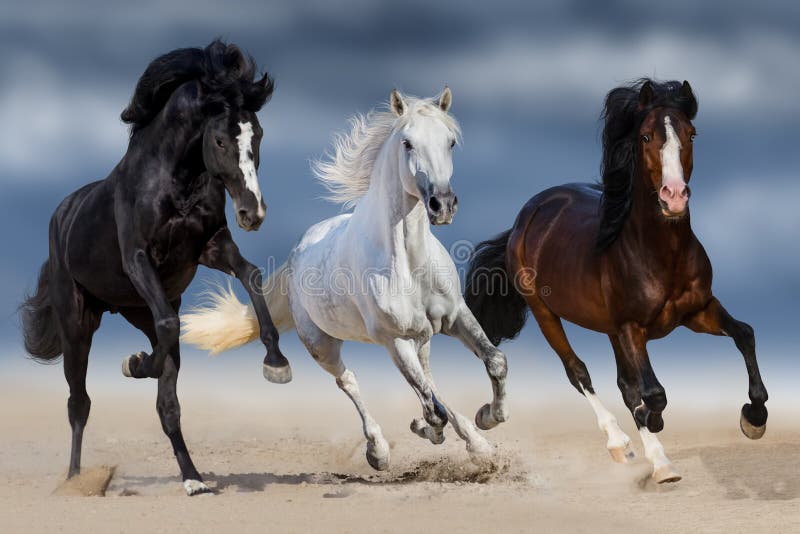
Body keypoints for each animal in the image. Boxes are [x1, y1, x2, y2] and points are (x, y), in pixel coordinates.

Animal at [19, 40, 290, 495]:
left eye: (259, 136)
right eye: (220, 140)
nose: (253, 213)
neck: (175, 182)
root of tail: (64, 213)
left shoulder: (212, 247)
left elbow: (250, 275)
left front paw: (276, 361)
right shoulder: (138, 259)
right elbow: (167, 324)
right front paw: (135, 364)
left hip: (134, 310)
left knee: (167, 402)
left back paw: (193, 479)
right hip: (78, 324)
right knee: (79, 402)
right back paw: (75, 480)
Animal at [181, 88, 509, 469]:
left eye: (450, 142)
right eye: (408, 143)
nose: (442, 204)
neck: (409, 263)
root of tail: (296, 253)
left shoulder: (455, 316)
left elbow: (494, 362)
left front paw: (488, 417)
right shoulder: (395, 340)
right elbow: (433, 409)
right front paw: (428, 429)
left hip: (422, 338)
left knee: (429, 380)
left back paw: (477, 443)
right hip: (323, 345)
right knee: (349, 381)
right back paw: (378, 451)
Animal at [465, 79, 768, 483]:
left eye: (691, 133)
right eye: (645, 136)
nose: (674, 197)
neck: (660, 252)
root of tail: (527, 215)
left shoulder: (699, 311)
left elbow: (744, 335)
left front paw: (755, 418)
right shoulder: (631, 327)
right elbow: (653, 393)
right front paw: (652, 425)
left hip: (609, 328)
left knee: (625, 385)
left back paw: (656, 458)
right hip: (546, 313)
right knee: (579, 373)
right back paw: (626, 446)